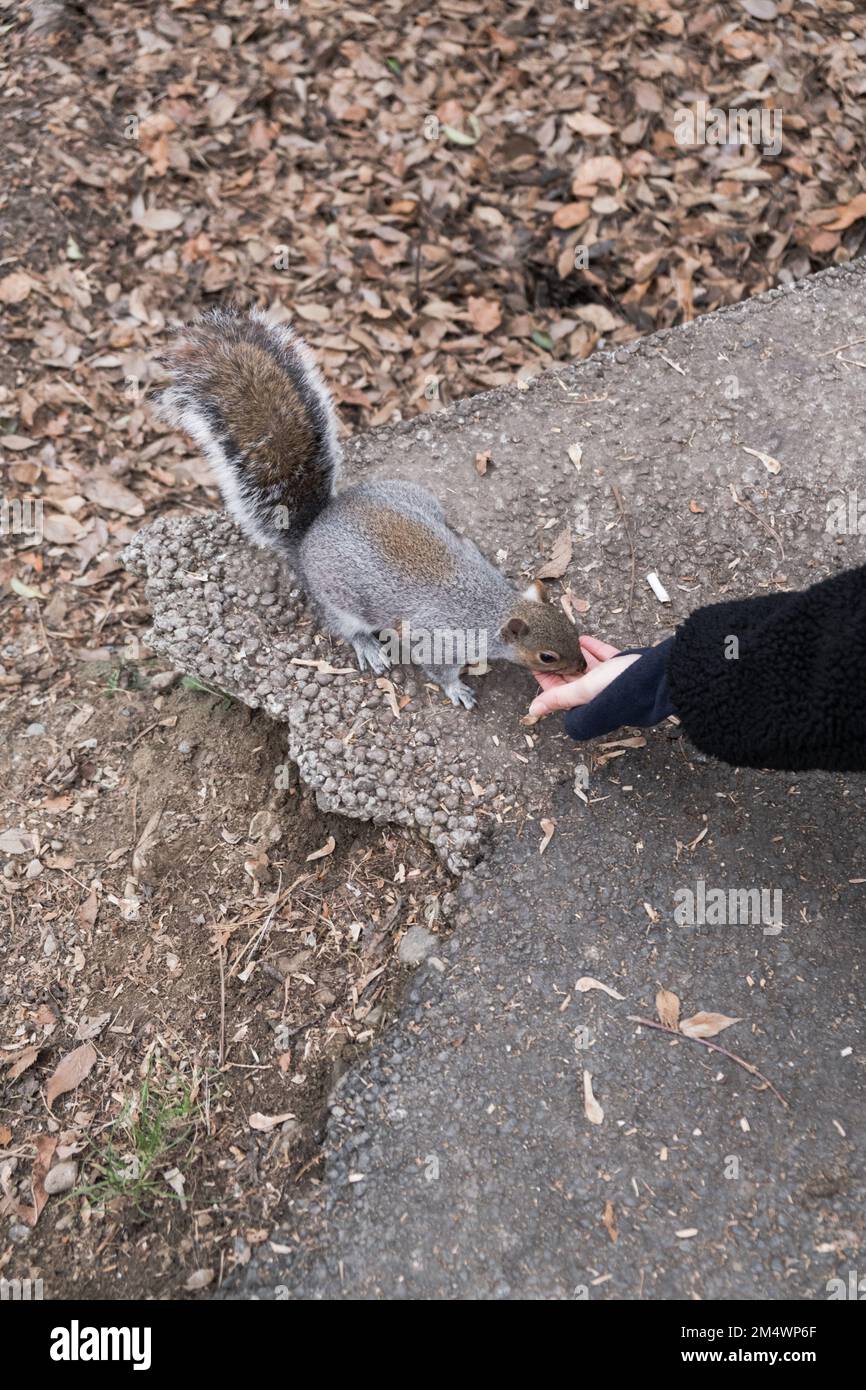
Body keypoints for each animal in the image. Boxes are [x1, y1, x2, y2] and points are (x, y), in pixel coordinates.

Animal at [156, 306, 585, 708]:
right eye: (547, 656)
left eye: (572, 628)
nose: (582, 668)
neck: (490, 607)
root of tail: (314, 528)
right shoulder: (437, 638)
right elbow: (438, 668)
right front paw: (457, 689)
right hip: (338, 598)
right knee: (344, 626)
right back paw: (368, 647)